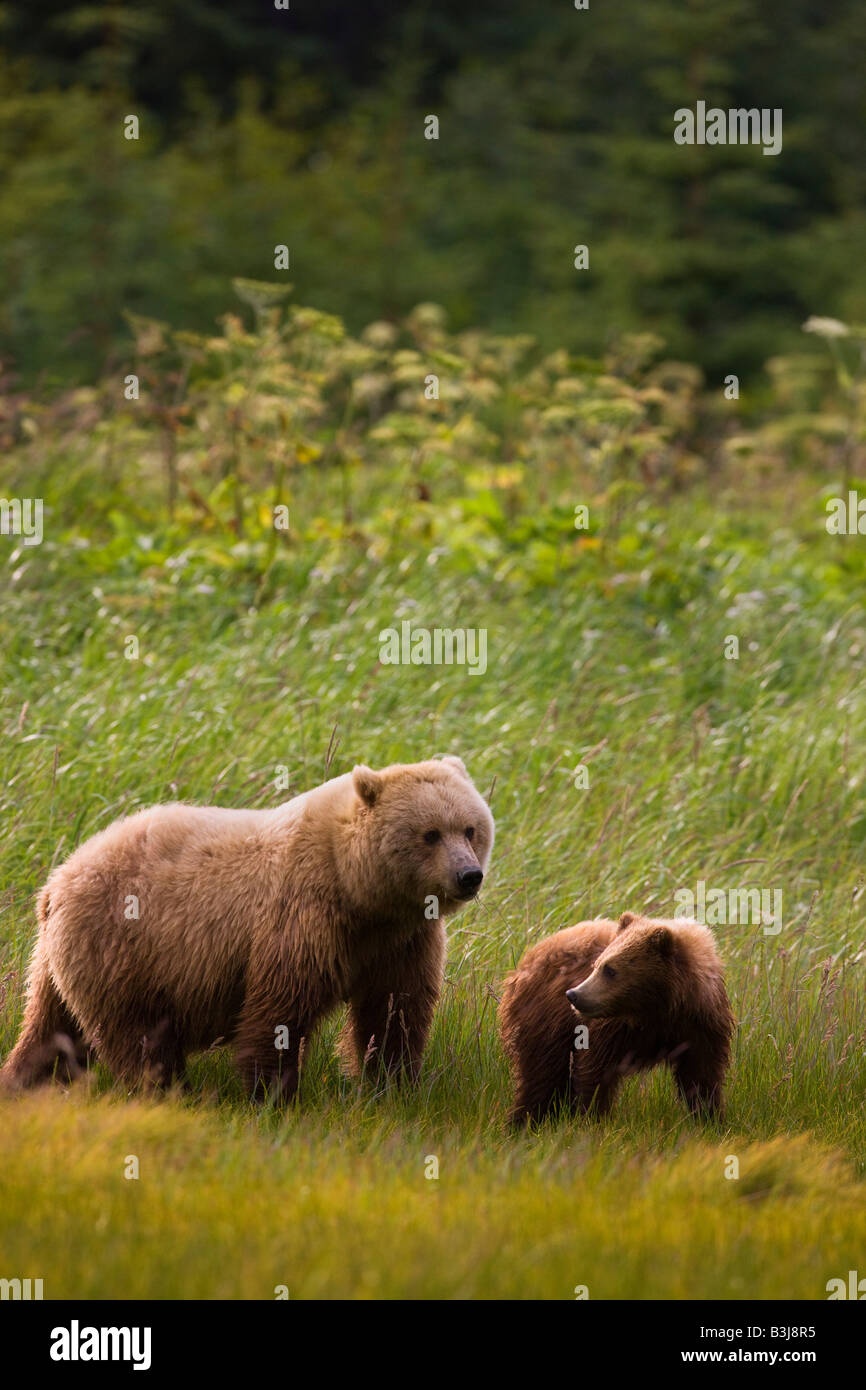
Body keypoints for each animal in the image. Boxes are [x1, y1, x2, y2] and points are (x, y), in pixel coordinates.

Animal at [1, 756, 494, 1103]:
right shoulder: (303, 919)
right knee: (136, 1036)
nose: (469, 875)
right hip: (123, 948)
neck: (360, 892)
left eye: (470, 828)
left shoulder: (400, 940)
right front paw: (273, 1095)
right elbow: (280, 1010)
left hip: (63, 959)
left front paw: (392, 1084)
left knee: (50, 1027)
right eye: (430, 833)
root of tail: (56, 882)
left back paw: (22, 1081)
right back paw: (167, 1092)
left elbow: (395, 1010)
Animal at [498, 912, 732, 1126]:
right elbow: (595, 1070)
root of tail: (529, 958)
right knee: (542, 1074)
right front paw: (592, 1118)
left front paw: (710, 1119)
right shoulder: (611, 1029)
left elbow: (701, 1075)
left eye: (610, 970)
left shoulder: (700, 1024)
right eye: (597, 965)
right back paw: (523, 1123)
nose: (573, 994)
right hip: (545, 1020)